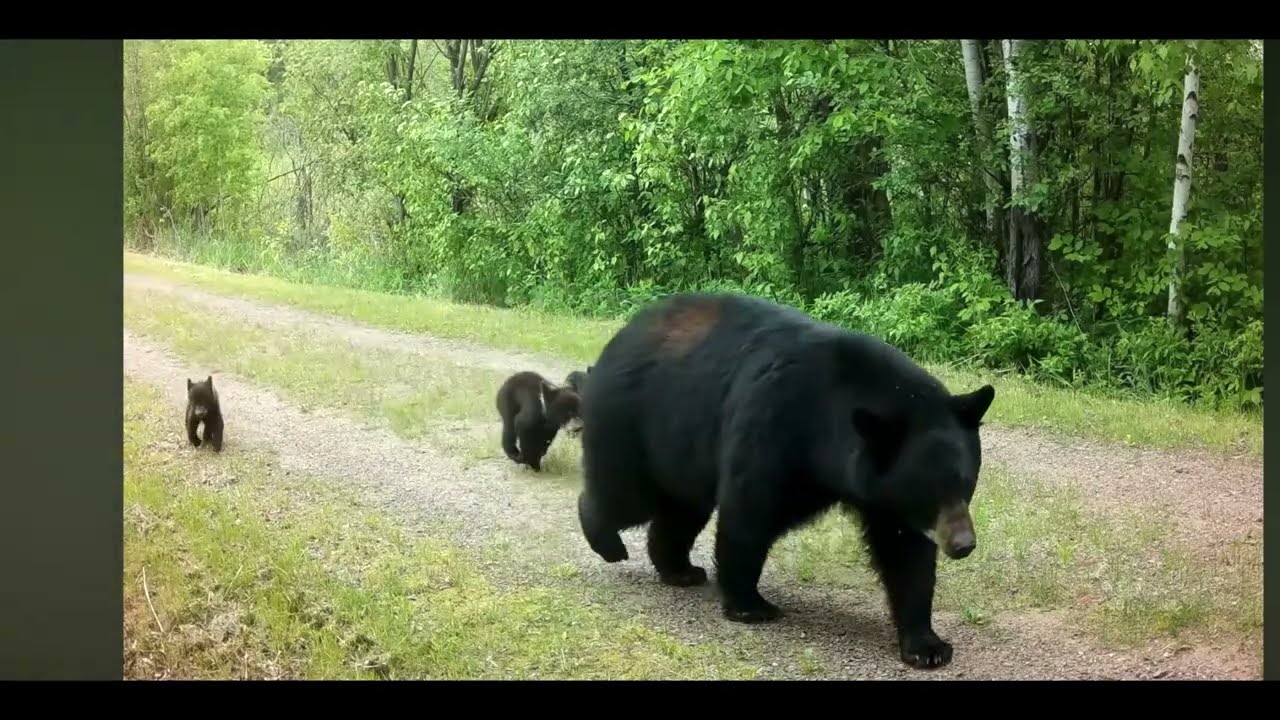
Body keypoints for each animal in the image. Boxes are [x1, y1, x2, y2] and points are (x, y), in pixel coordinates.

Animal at [575, 292, 994, 670]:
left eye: (966, 483)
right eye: (926, 491)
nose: (963, 544)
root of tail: (618, 337)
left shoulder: (880, 492)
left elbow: (906, 555)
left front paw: (927, 645)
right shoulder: (775, 425)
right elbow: (750, 512)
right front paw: (750, 606)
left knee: (681, 510)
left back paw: (679, 569)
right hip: (637, 423)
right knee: (625, 495)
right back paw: (607, 540)